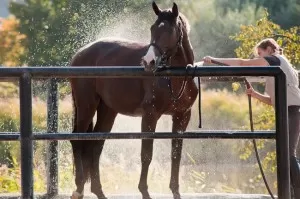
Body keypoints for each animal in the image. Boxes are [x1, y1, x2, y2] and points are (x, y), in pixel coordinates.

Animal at [69, 1, 198, 199]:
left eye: (169, 30)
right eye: (152, 28)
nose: (149, 61)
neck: (174, 77)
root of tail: (80, 54)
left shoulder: (182, 116)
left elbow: (176, 155)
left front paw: (175, 191)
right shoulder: (150, 116)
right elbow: (146, 154)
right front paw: (144, 191)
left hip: (107, 110)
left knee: (95, 145)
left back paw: (98, 191)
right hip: (86, 106)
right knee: (77, 139)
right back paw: (79, 188)